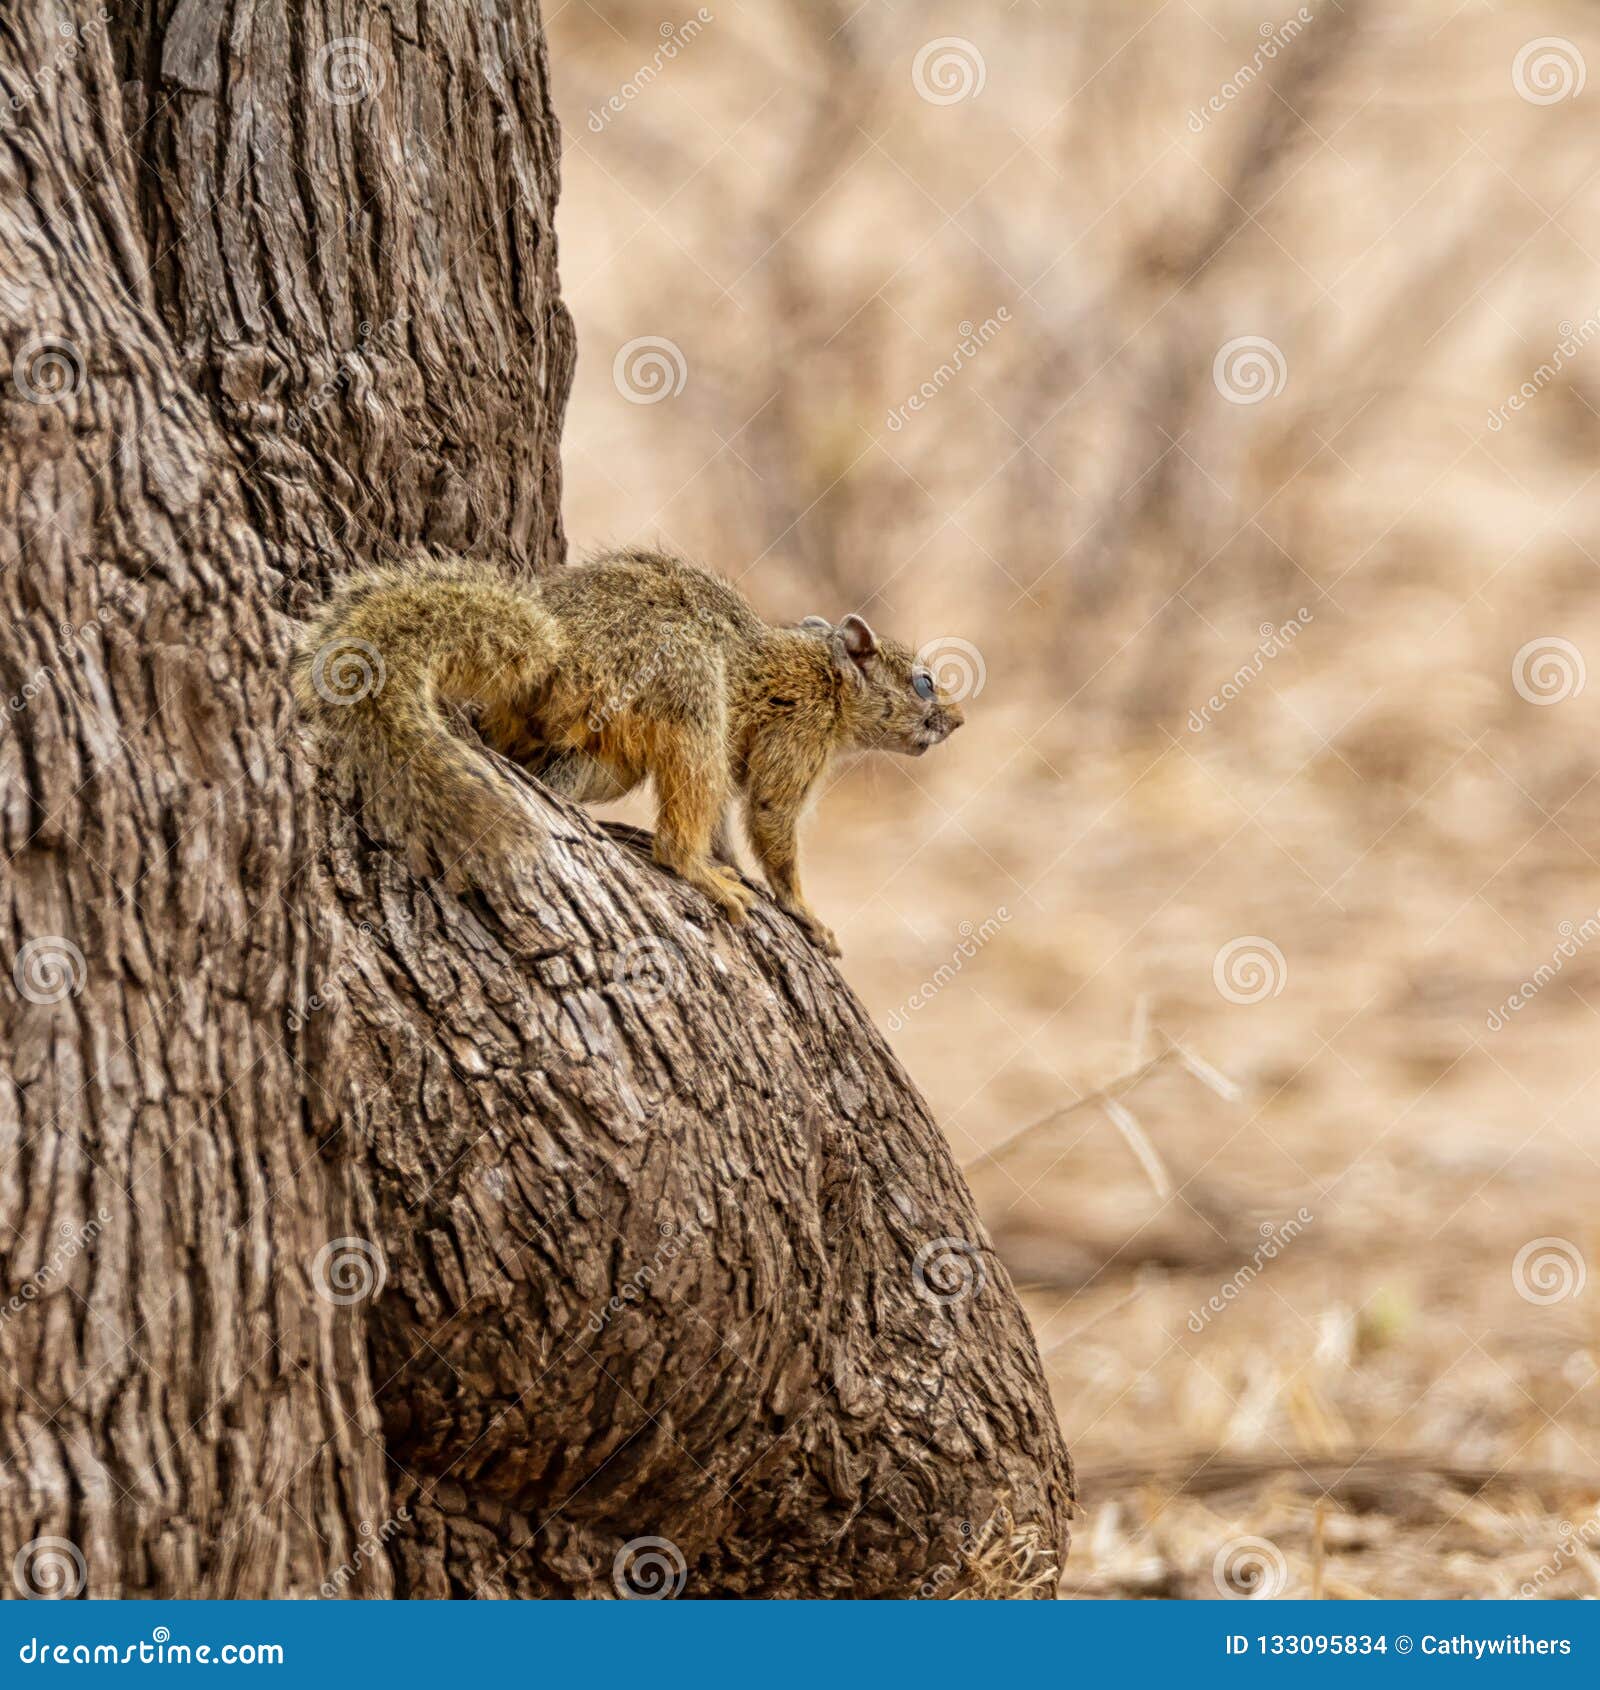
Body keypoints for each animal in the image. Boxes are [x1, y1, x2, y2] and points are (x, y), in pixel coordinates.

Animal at [292, 547, 965, 956]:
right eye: (923, 683)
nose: (956, 721)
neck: (827, 682)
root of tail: (558, 647)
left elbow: (725, 820)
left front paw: (733, 862)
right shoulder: (795, 737)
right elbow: (771, 820)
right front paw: (803, 911)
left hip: (602, 756)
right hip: (683, 686)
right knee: (675, 835)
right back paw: (699, 873)